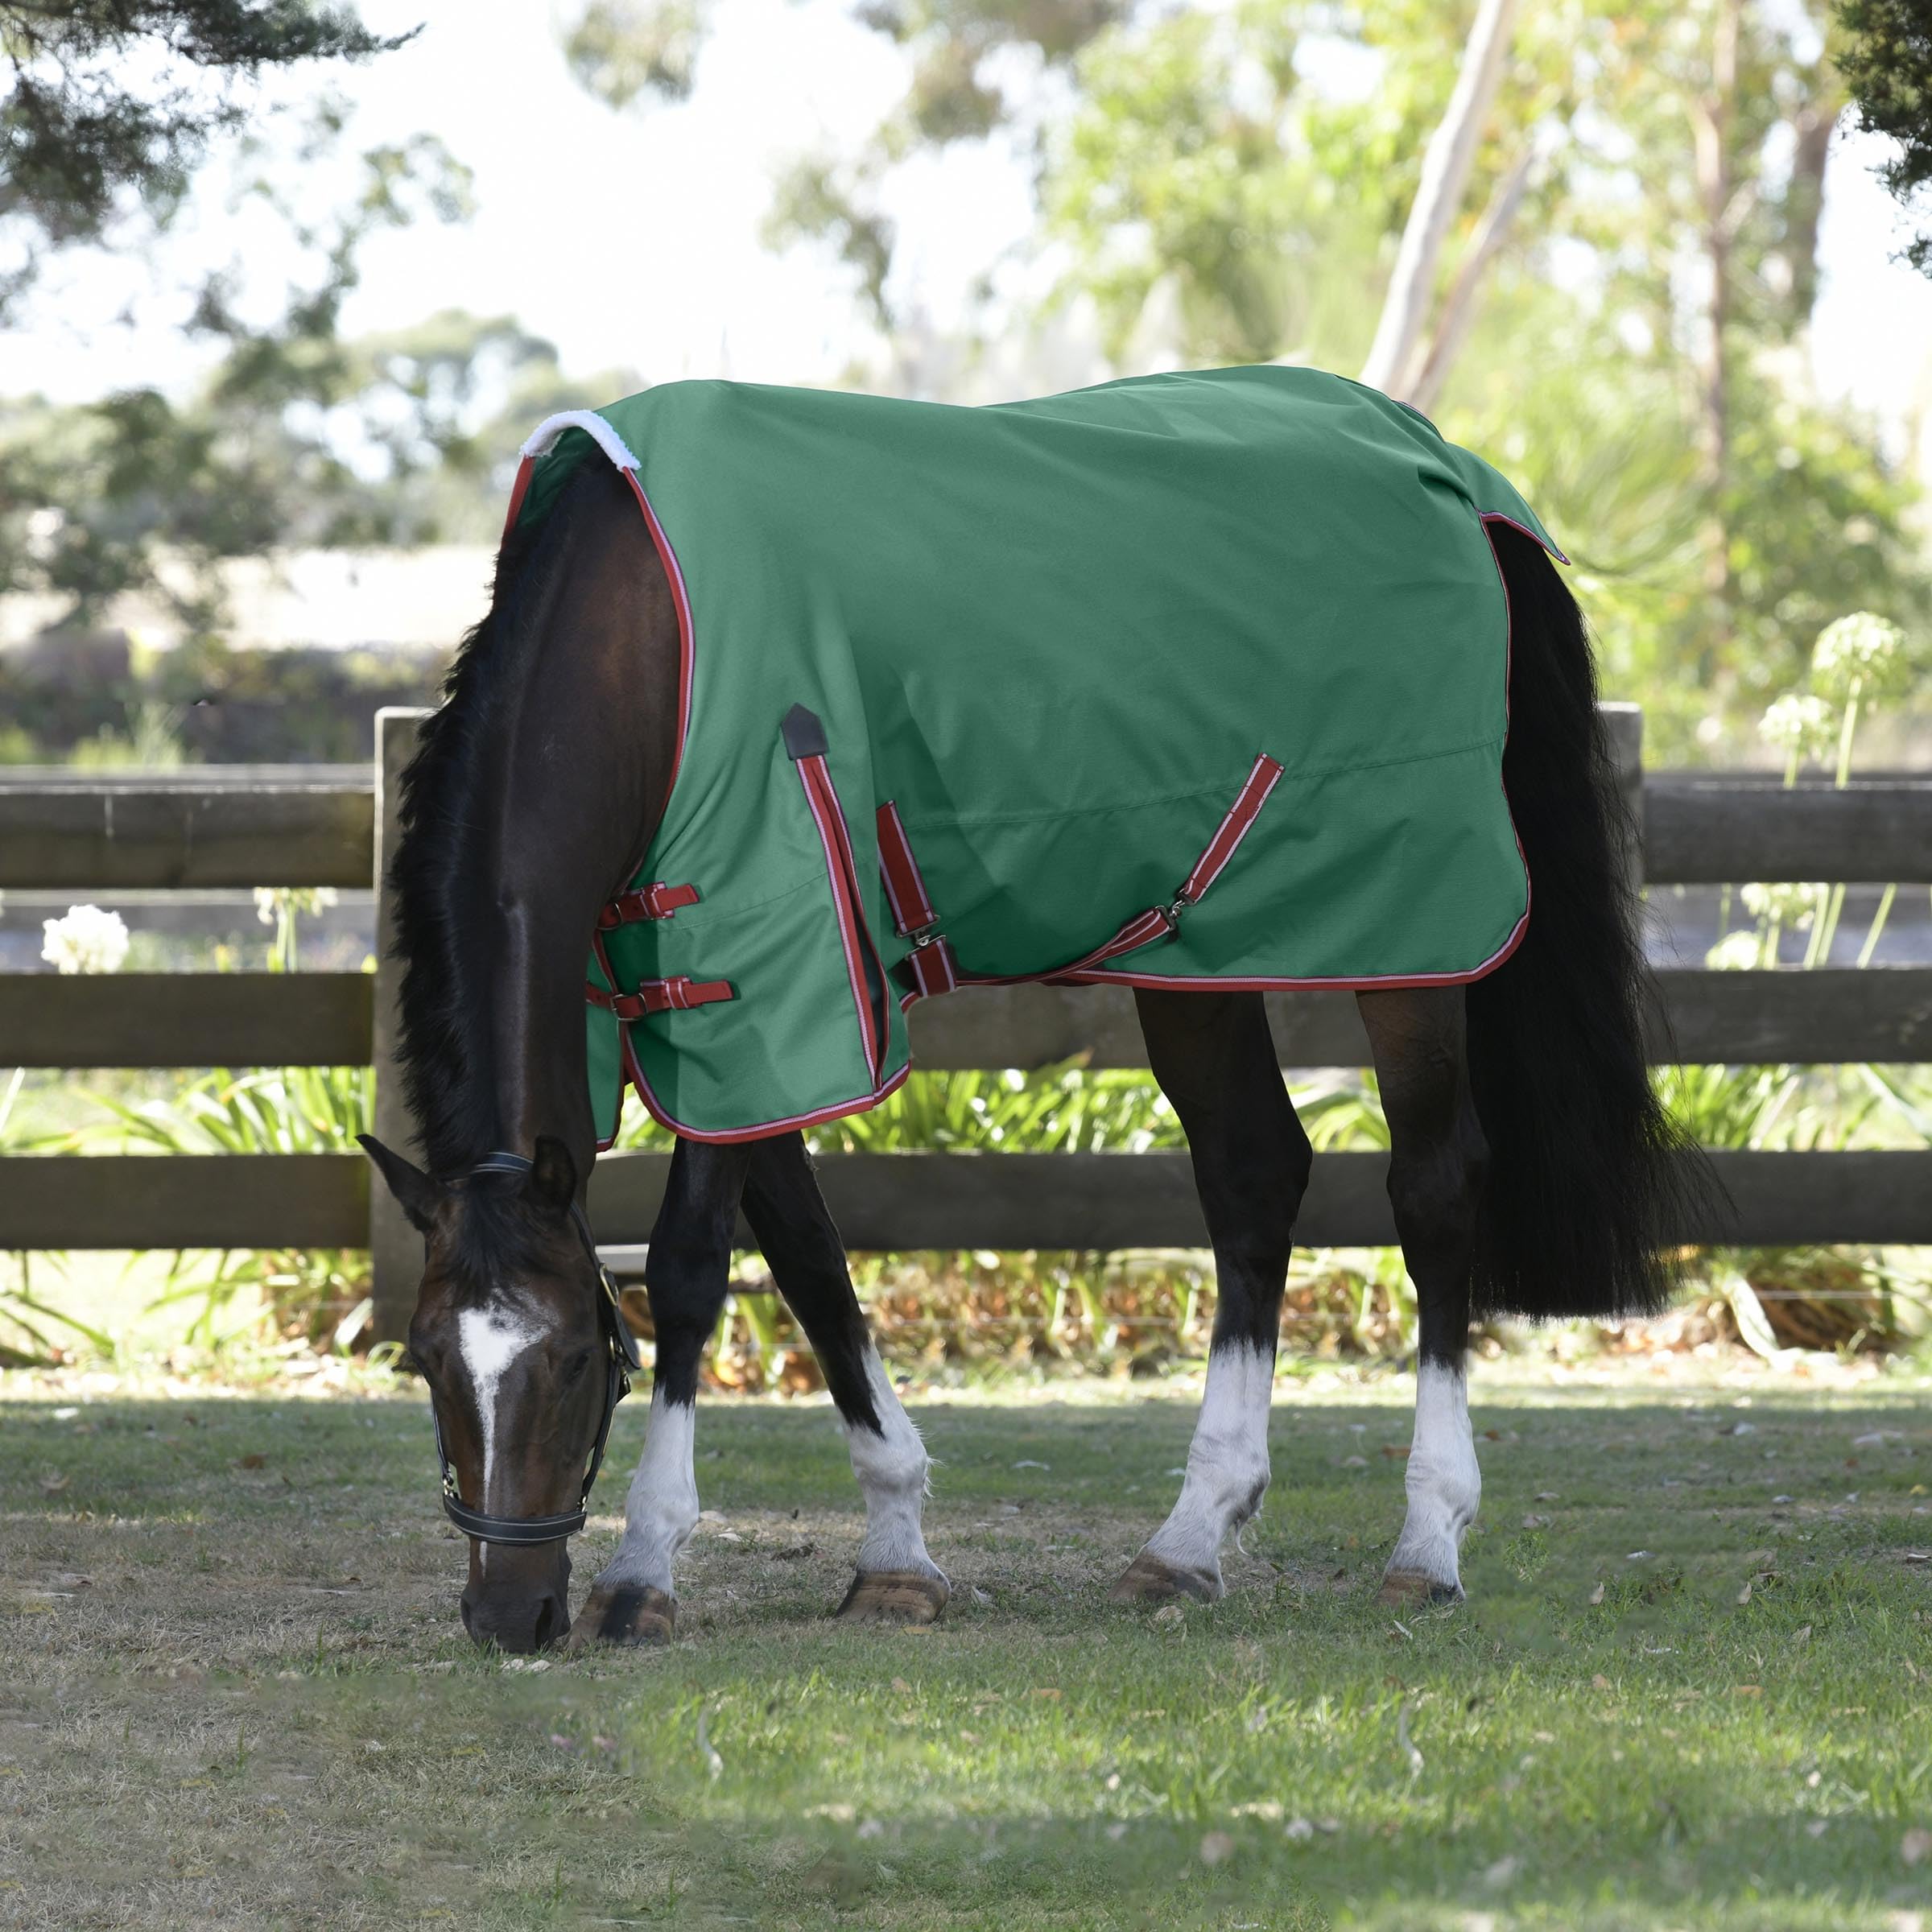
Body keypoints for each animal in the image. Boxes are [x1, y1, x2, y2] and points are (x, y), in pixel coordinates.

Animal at [360, 376, 1697, 1654]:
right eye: (426, 1358)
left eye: (575, 1359)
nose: (510, 1616)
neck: (644, 640)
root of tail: (1456, 477)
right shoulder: (734, 1016)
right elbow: (814, 1262)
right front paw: (895, 1553)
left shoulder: (772, 981)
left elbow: (696, 1270)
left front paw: (643, 1573)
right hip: (1196, 956)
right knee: (1254, 1177)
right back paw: (1188, 1540)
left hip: (1408, 944)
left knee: (1433, 1191)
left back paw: (1426, 1544)